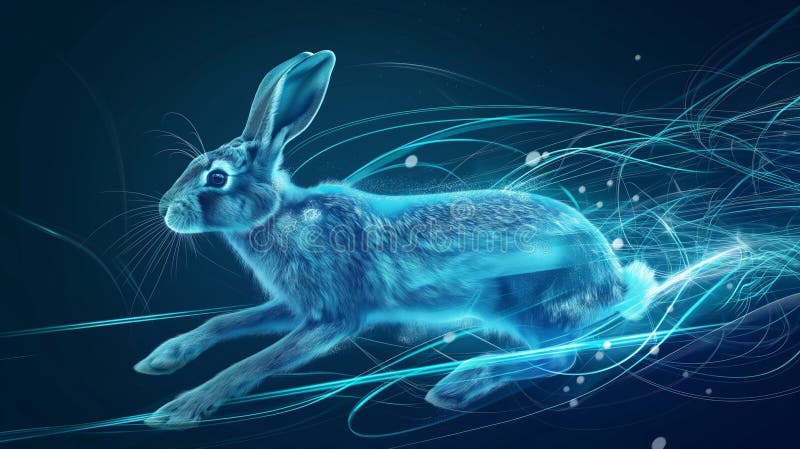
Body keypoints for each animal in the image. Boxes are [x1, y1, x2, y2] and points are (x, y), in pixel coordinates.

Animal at [135, 50, 657, 429]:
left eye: (217, 178)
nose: (165, 210)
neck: (283, 214)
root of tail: (614, 281)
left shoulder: (335, 315)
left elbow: (256, 362)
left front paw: (177, 409)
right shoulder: (295, 303)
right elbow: (225, 321)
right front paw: (161, 359)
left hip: (525, 301)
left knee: (558, 358)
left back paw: (459, 384)